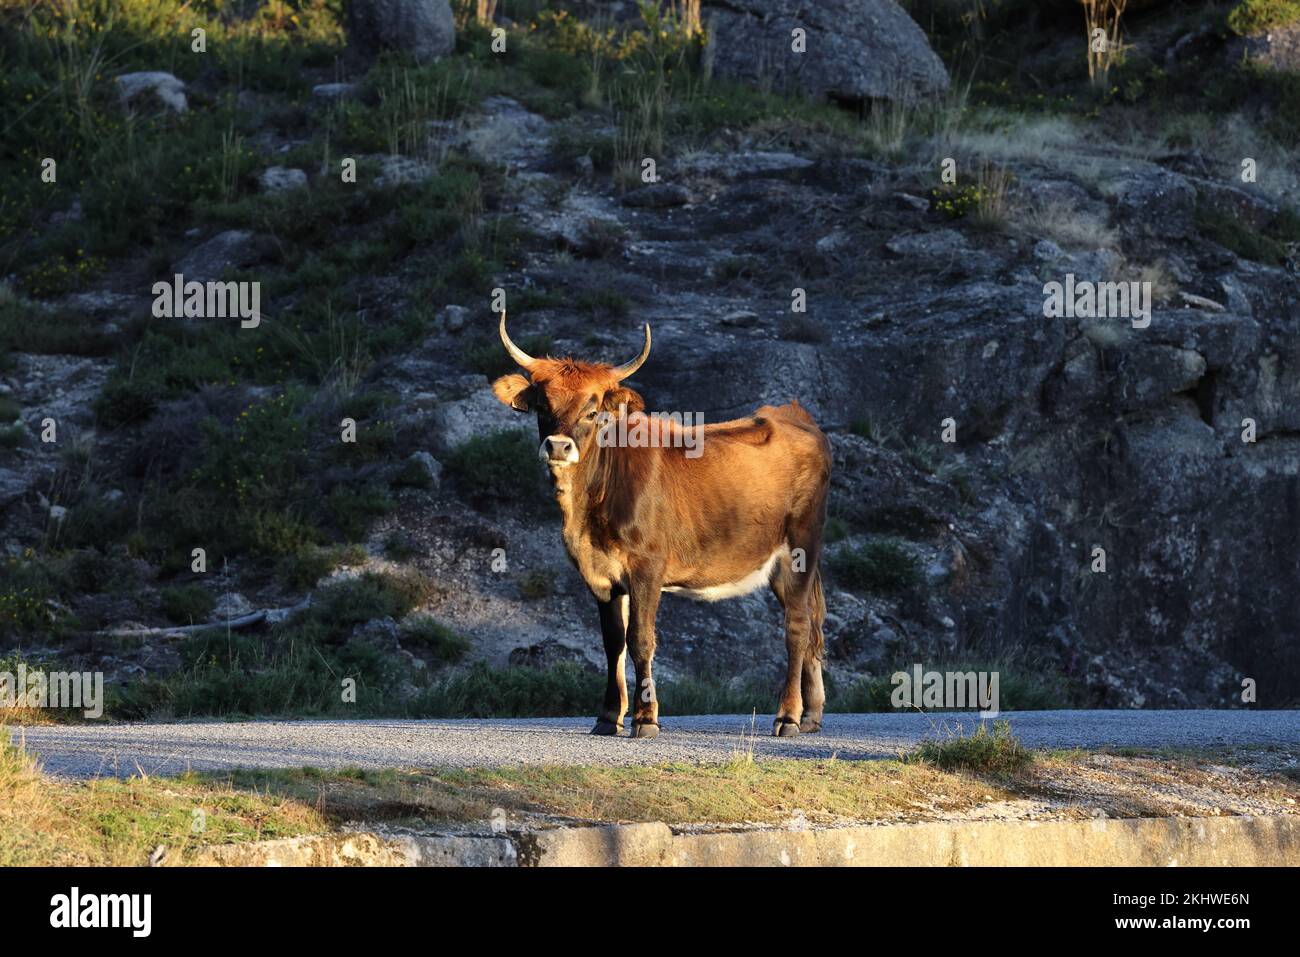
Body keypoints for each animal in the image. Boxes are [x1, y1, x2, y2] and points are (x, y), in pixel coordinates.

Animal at [491, 313, 832, 738]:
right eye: (542, 407)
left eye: (592, 411)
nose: (557, 446)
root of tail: (793, 414)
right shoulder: (602, 576)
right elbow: (613, 643)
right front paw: (608, 716)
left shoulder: (647, 568)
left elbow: (640, 639)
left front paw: (645, 718)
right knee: (814, 623)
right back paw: (812, 714)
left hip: (800, 548)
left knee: (798, 626)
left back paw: (788, 717)